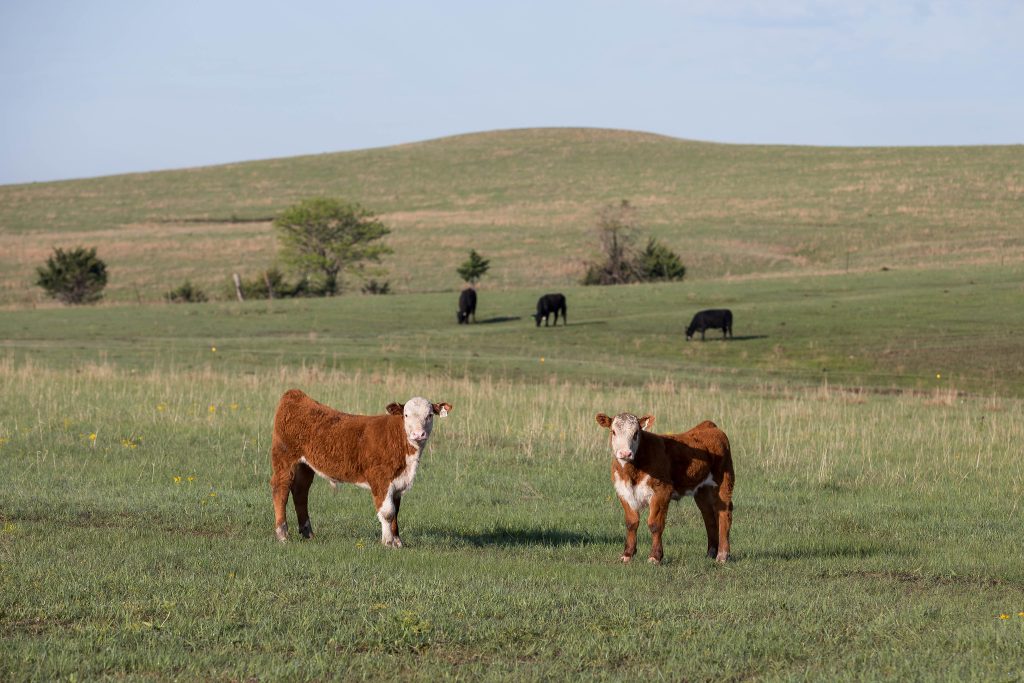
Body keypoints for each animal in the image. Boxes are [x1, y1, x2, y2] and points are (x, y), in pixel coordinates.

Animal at [270, 390, 452, 547]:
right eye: (406, 415)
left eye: (429, 415)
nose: (418, 434)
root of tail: (295, 395)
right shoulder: (381, 479)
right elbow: (388, 512)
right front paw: (388, 542)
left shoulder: (398, 482)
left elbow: (396, 511)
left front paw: (398, 541)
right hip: (284, 459)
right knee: (281, 489)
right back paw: (282, 534)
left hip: (305, 465)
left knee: (301, 491)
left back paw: (308, 533)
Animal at [595, 412, 734, 564]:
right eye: (613, 432)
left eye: (636, 433)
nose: (625, 453)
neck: (632, 472)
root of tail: (709, 426)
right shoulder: (623, 492)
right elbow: (631, 523)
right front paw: (627, 554)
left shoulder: (661, 491)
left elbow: (655, 524)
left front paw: (655, 557)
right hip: (702, 489)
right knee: (708, 516)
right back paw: (711, 552)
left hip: (724, 482)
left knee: (724, 513)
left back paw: (722, 555)